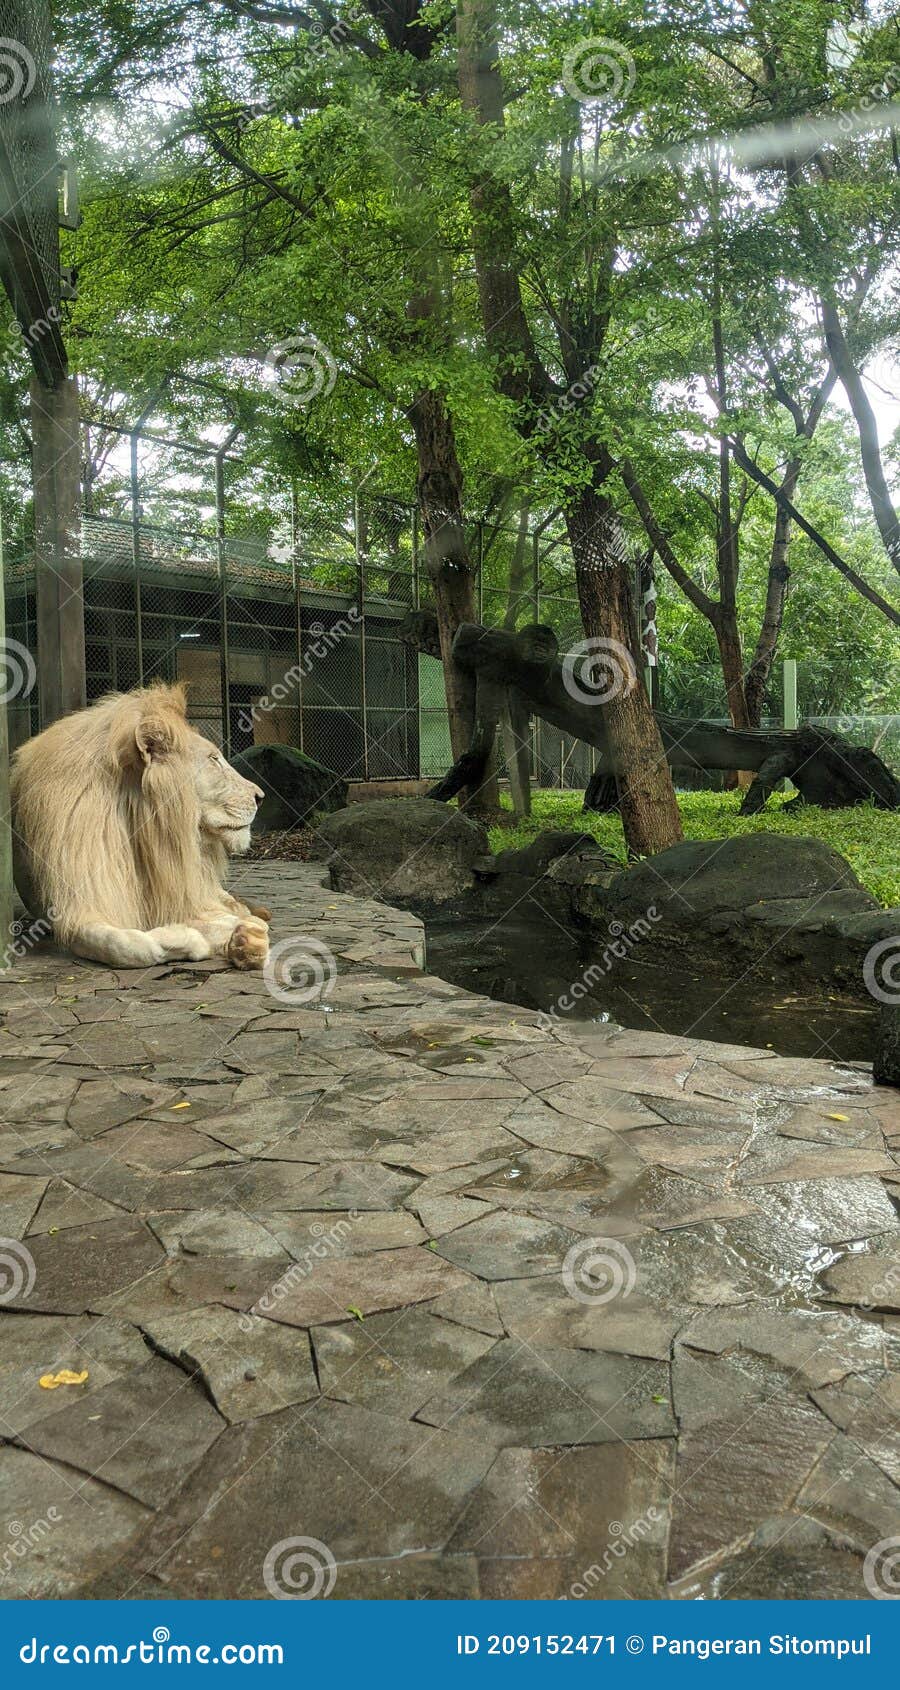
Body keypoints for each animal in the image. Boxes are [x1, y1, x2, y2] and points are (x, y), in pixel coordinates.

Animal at [10, 682, 272, 970]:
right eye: (214, 758)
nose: (260, 796)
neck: (141, 829)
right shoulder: (77, 905)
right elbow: (124, 945)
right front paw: (197, 939)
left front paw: (244, 933)